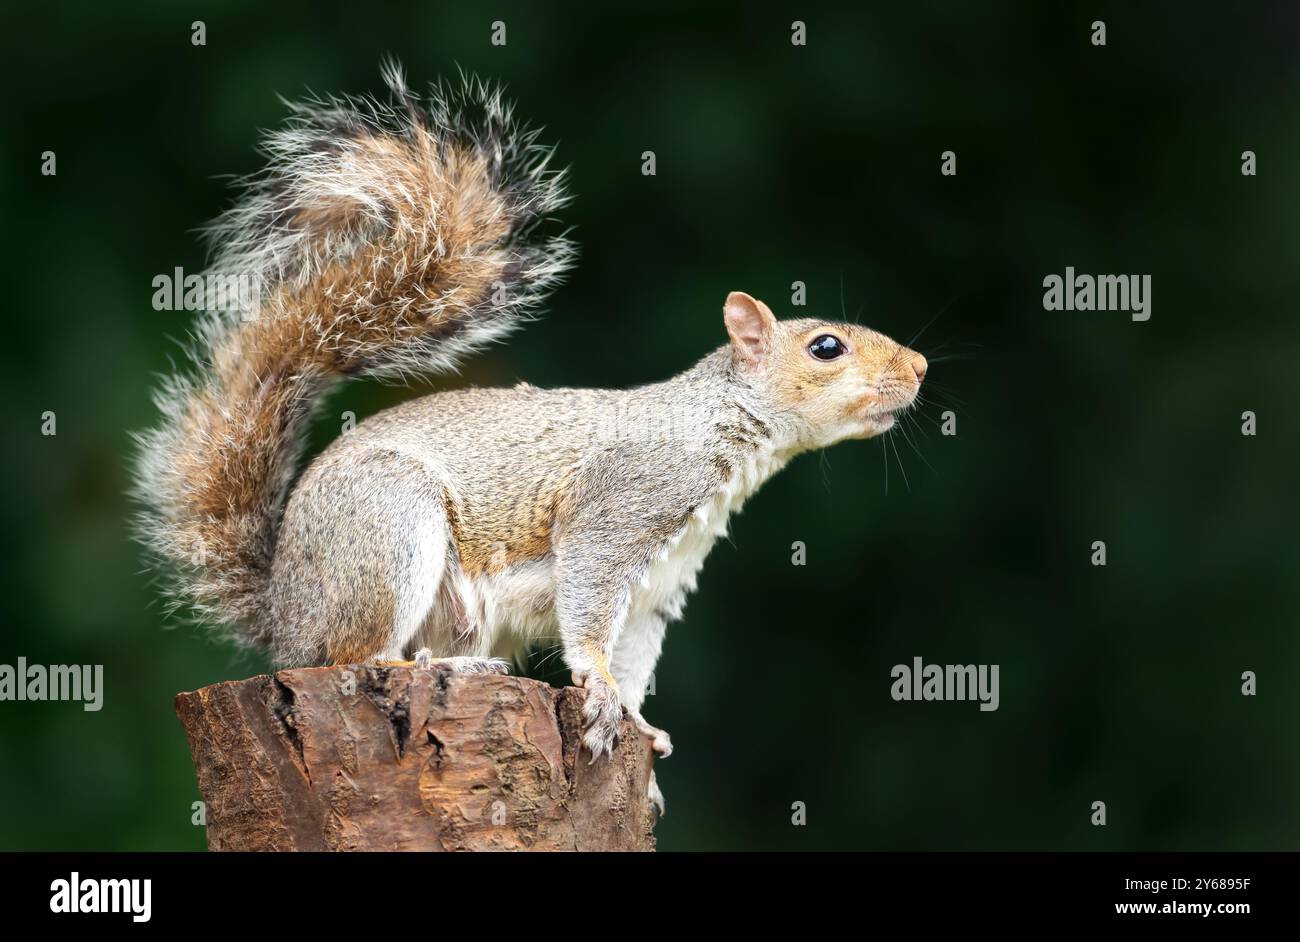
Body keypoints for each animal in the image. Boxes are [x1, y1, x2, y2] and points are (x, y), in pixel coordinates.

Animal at [133, 63, 927, 816]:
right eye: (826, 348)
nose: (920, 367)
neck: (724, 430)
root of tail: (284, 608)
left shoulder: (659, 586)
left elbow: (634, 658)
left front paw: (638, 726)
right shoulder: (618, 508)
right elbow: (591, 613)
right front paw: (599, 692)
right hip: (386, 523)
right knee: (353, 658)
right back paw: (435, 669)